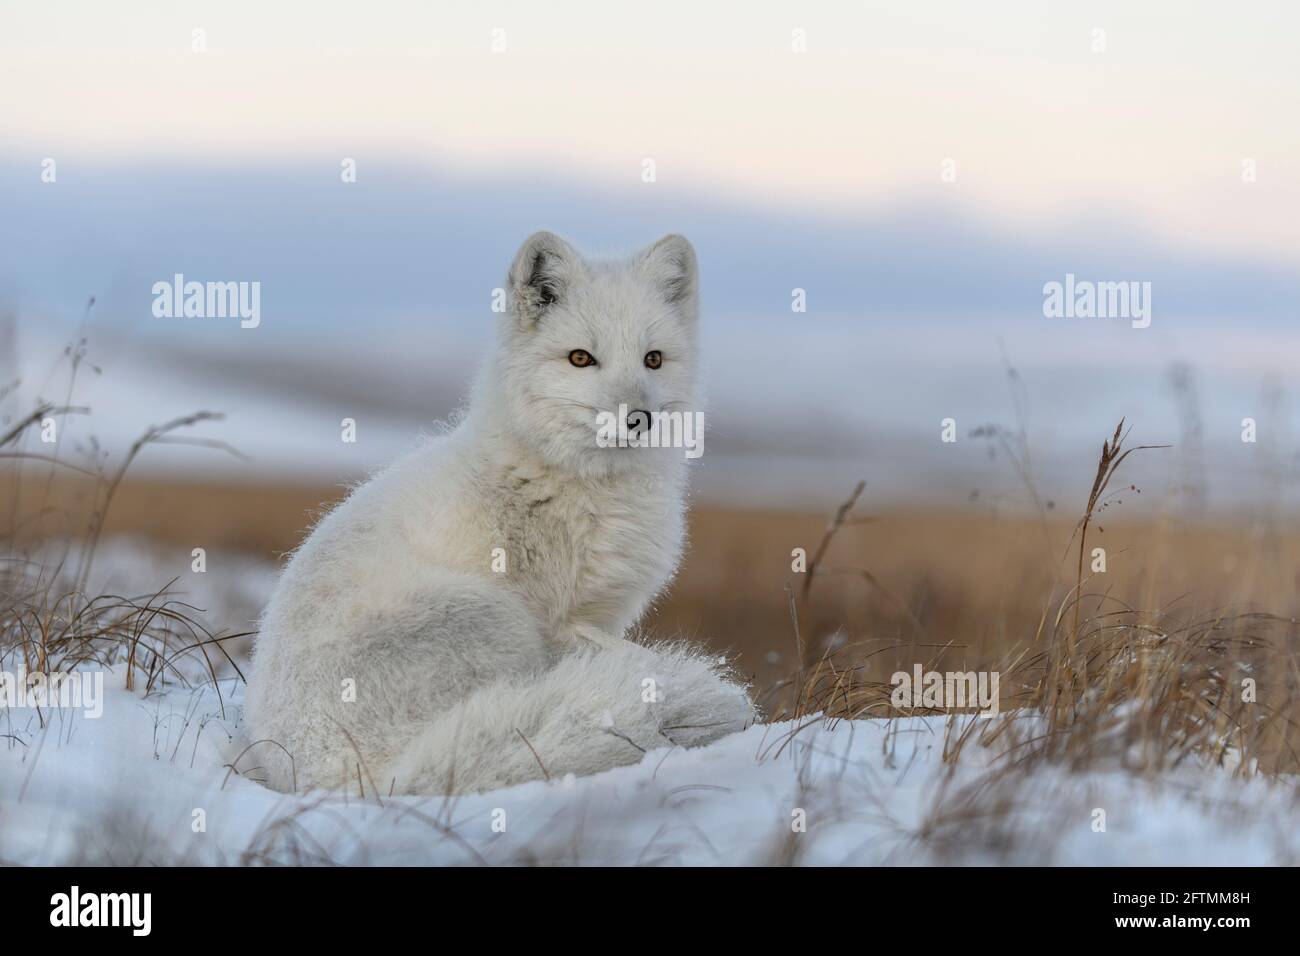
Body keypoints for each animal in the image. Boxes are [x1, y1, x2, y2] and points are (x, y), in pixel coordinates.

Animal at [243, 231, 755, 796]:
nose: (637, 419)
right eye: (581, 358)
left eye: (654, 359)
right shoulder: (557, 619)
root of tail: (360, 777)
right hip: (494, 616)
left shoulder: (600, 613)